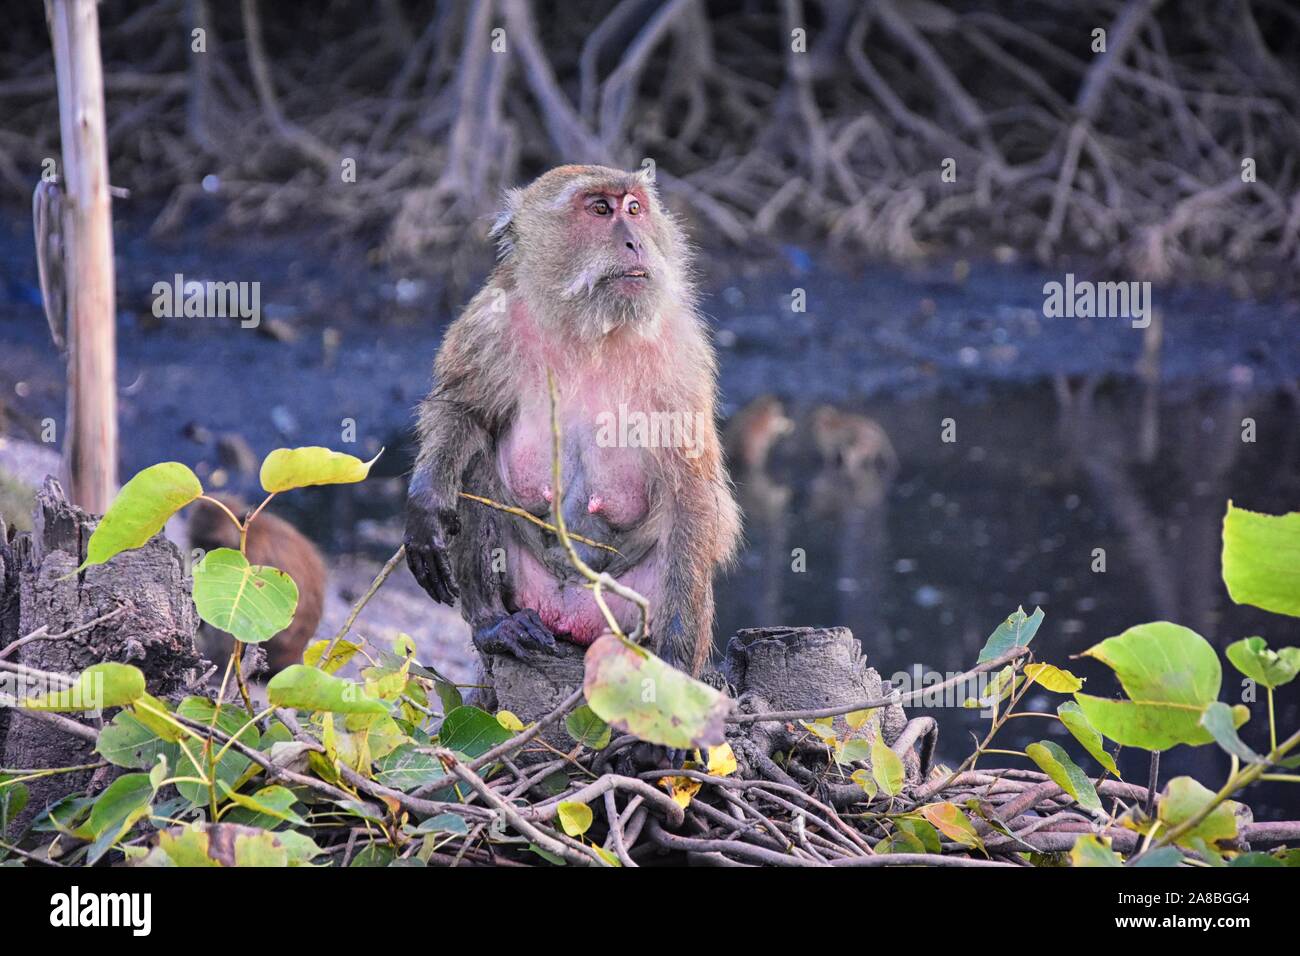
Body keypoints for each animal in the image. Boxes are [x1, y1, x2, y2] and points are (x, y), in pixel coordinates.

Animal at [405, 164, 741, 681]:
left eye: (634, 208)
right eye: (600, 208)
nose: (635, 242)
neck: (588, 325)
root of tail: (570, 618)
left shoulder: (680, 351)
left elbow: (691, 488)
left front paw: (674, 661)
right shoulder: (490, 319)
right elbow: (463, 410)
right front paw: (426, 507)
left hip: (628, 605)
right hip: (529, 588)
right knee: (477, 462)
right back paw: (494, 624)